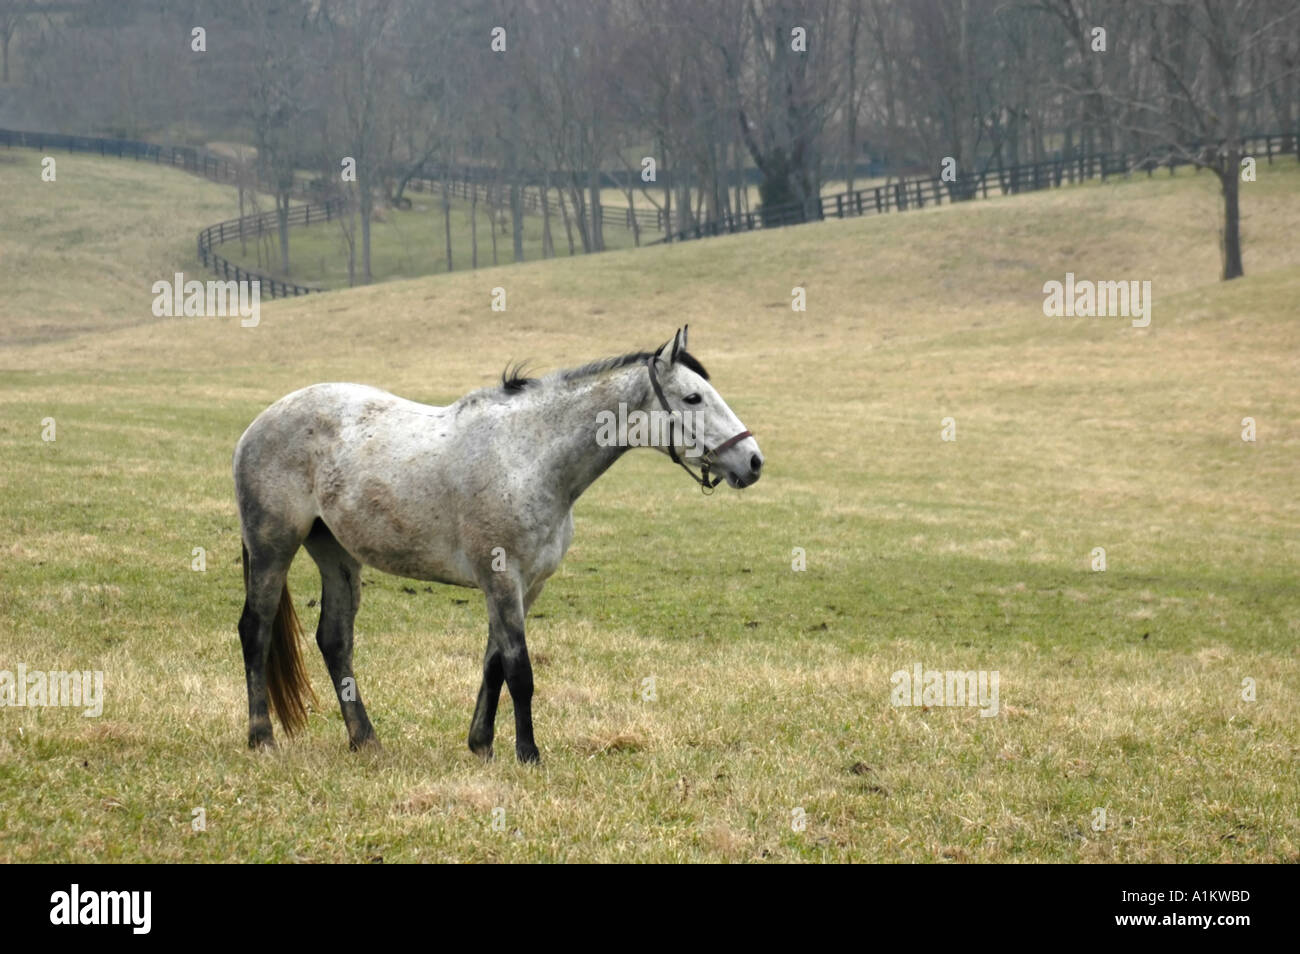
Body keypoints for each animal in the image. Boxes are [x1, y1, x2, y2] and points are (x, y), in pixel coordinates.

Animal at [232, 327, 763, 762]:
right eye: (693, 397)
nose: (753, 461)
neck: (527, 456)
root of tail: (257, 425)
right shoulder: (503, 580)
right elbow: (519, 671)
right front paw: (528, 754)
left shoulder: (526, 586)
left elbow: (494, 666)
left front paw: (481, 744)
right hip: (273, 548)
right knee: (255, 631)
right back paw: (262, 738)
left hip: (336, 556)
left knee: (335, 640)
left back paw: (365, 740)